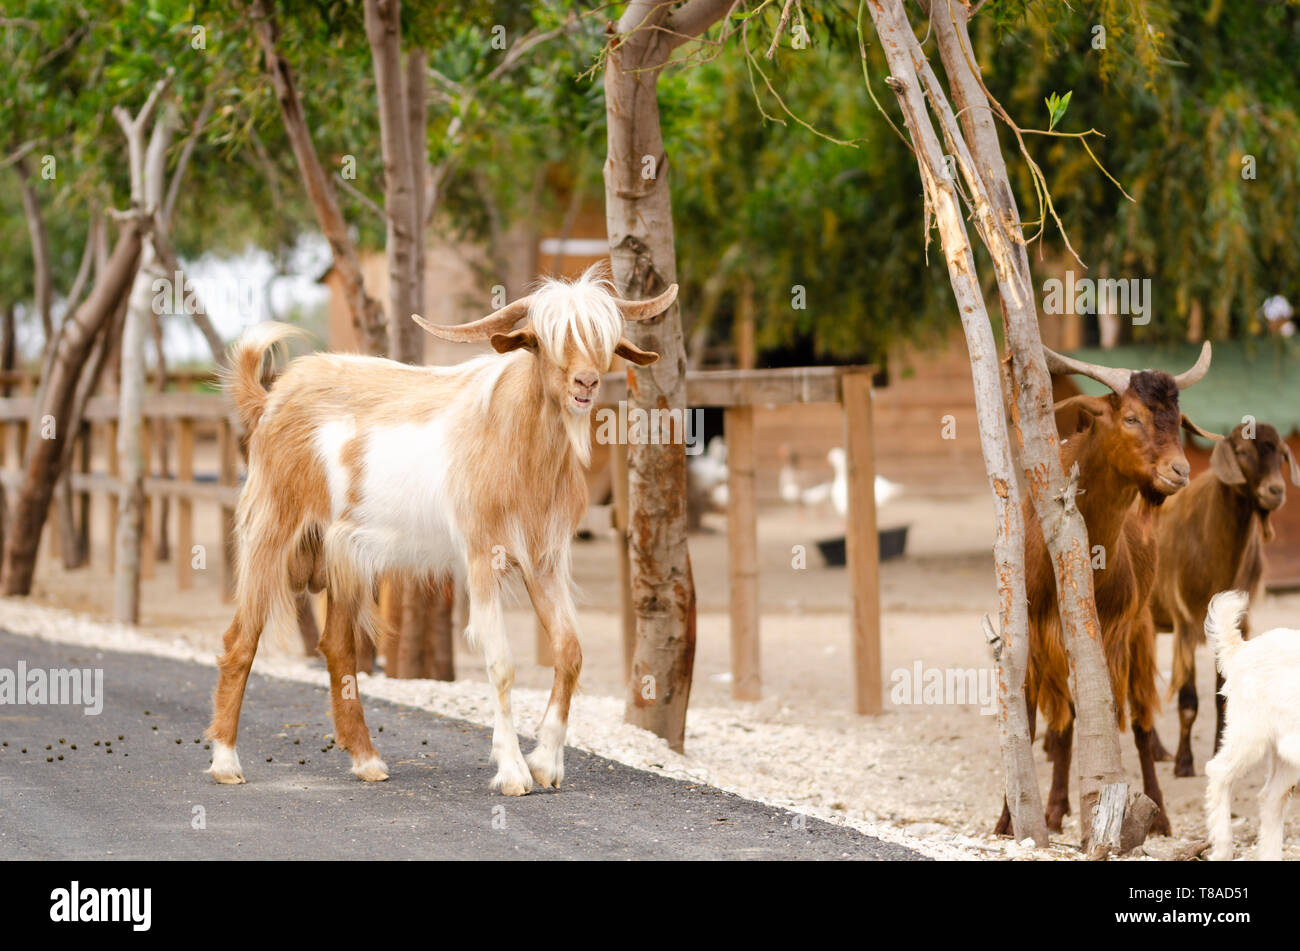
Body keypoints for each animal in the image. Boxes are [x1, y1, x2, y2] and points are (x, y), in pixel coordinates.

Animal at [204, 268, 675, 795]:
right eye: (543, 340)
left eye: (604, 340)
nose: (586, 382)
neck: (517, 442)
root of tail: (270, 399)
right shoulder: (482, 555)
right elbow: (501, 664)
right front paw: (513, 771)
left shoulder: (544, 561)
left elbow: (570, 652)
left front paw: (546, 762)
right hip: (272, 528)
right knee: (241, 639)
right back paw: (226, 762)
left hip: (342, 553)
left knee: (337, 648)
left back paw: (367, 760)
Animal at [995, 343, 1215, 837]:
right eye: (1132, 417)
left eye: (1178, 418)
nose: (1179, 471)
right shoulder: (1032, 633)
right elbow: (1031, 721)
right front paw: (1009, 821)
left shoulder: (1113, 631)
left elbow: (1112, 717)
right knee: (1067, 721)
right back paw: (1056, 807)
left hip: (1140, 630)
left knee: (1140, 720)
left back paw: (1158, 813)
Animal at [1152, 423, 1300, 776]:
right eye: (1243, 452)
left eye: (1281, 454)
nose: (1276, 491)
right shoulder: (1184, 624)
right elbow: (1188, 700)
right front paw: (1184, 763)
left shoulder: (1237, 624)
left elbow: (1223, 697)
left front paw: (1221, 749)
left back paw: (1157, 750)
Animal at [1204, 589, 1300, 860]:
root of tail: (1242, 649)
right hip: (1249, 735)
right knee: (1218, 771)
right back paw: (1222, 848)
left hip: (1286, 753)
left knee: (1271, 798)